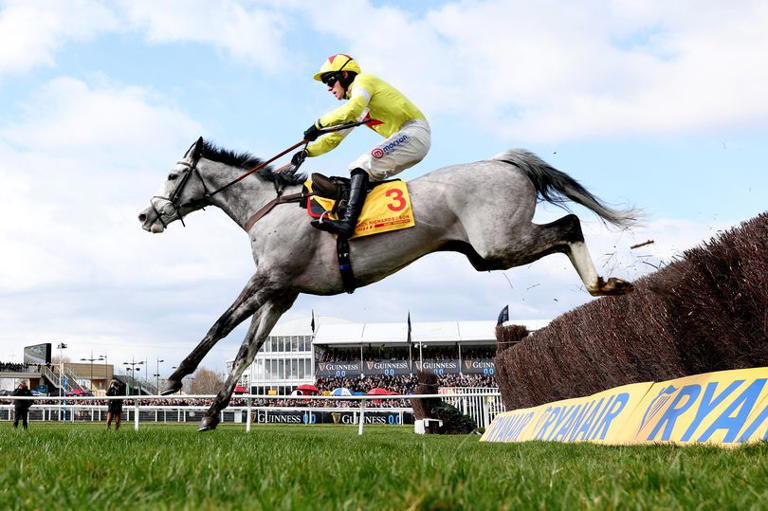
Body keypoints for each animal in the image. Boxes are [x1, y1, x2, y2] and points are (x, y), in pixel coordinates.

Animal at [138, 137, 637, 431]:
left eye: (172, 174)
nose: (146, 215)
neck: (270, 208)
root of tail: (503, 162)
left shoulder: (267, 279)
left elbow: (219, 327)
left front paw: (173, 380)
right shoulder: (281, 293)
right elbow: (245, 350)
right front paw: (211, 414)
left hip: (500, 242)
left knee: (570, 224)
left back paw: (602, 285)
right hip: (486, 255)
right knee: (566, 228)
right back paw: (606, 286)